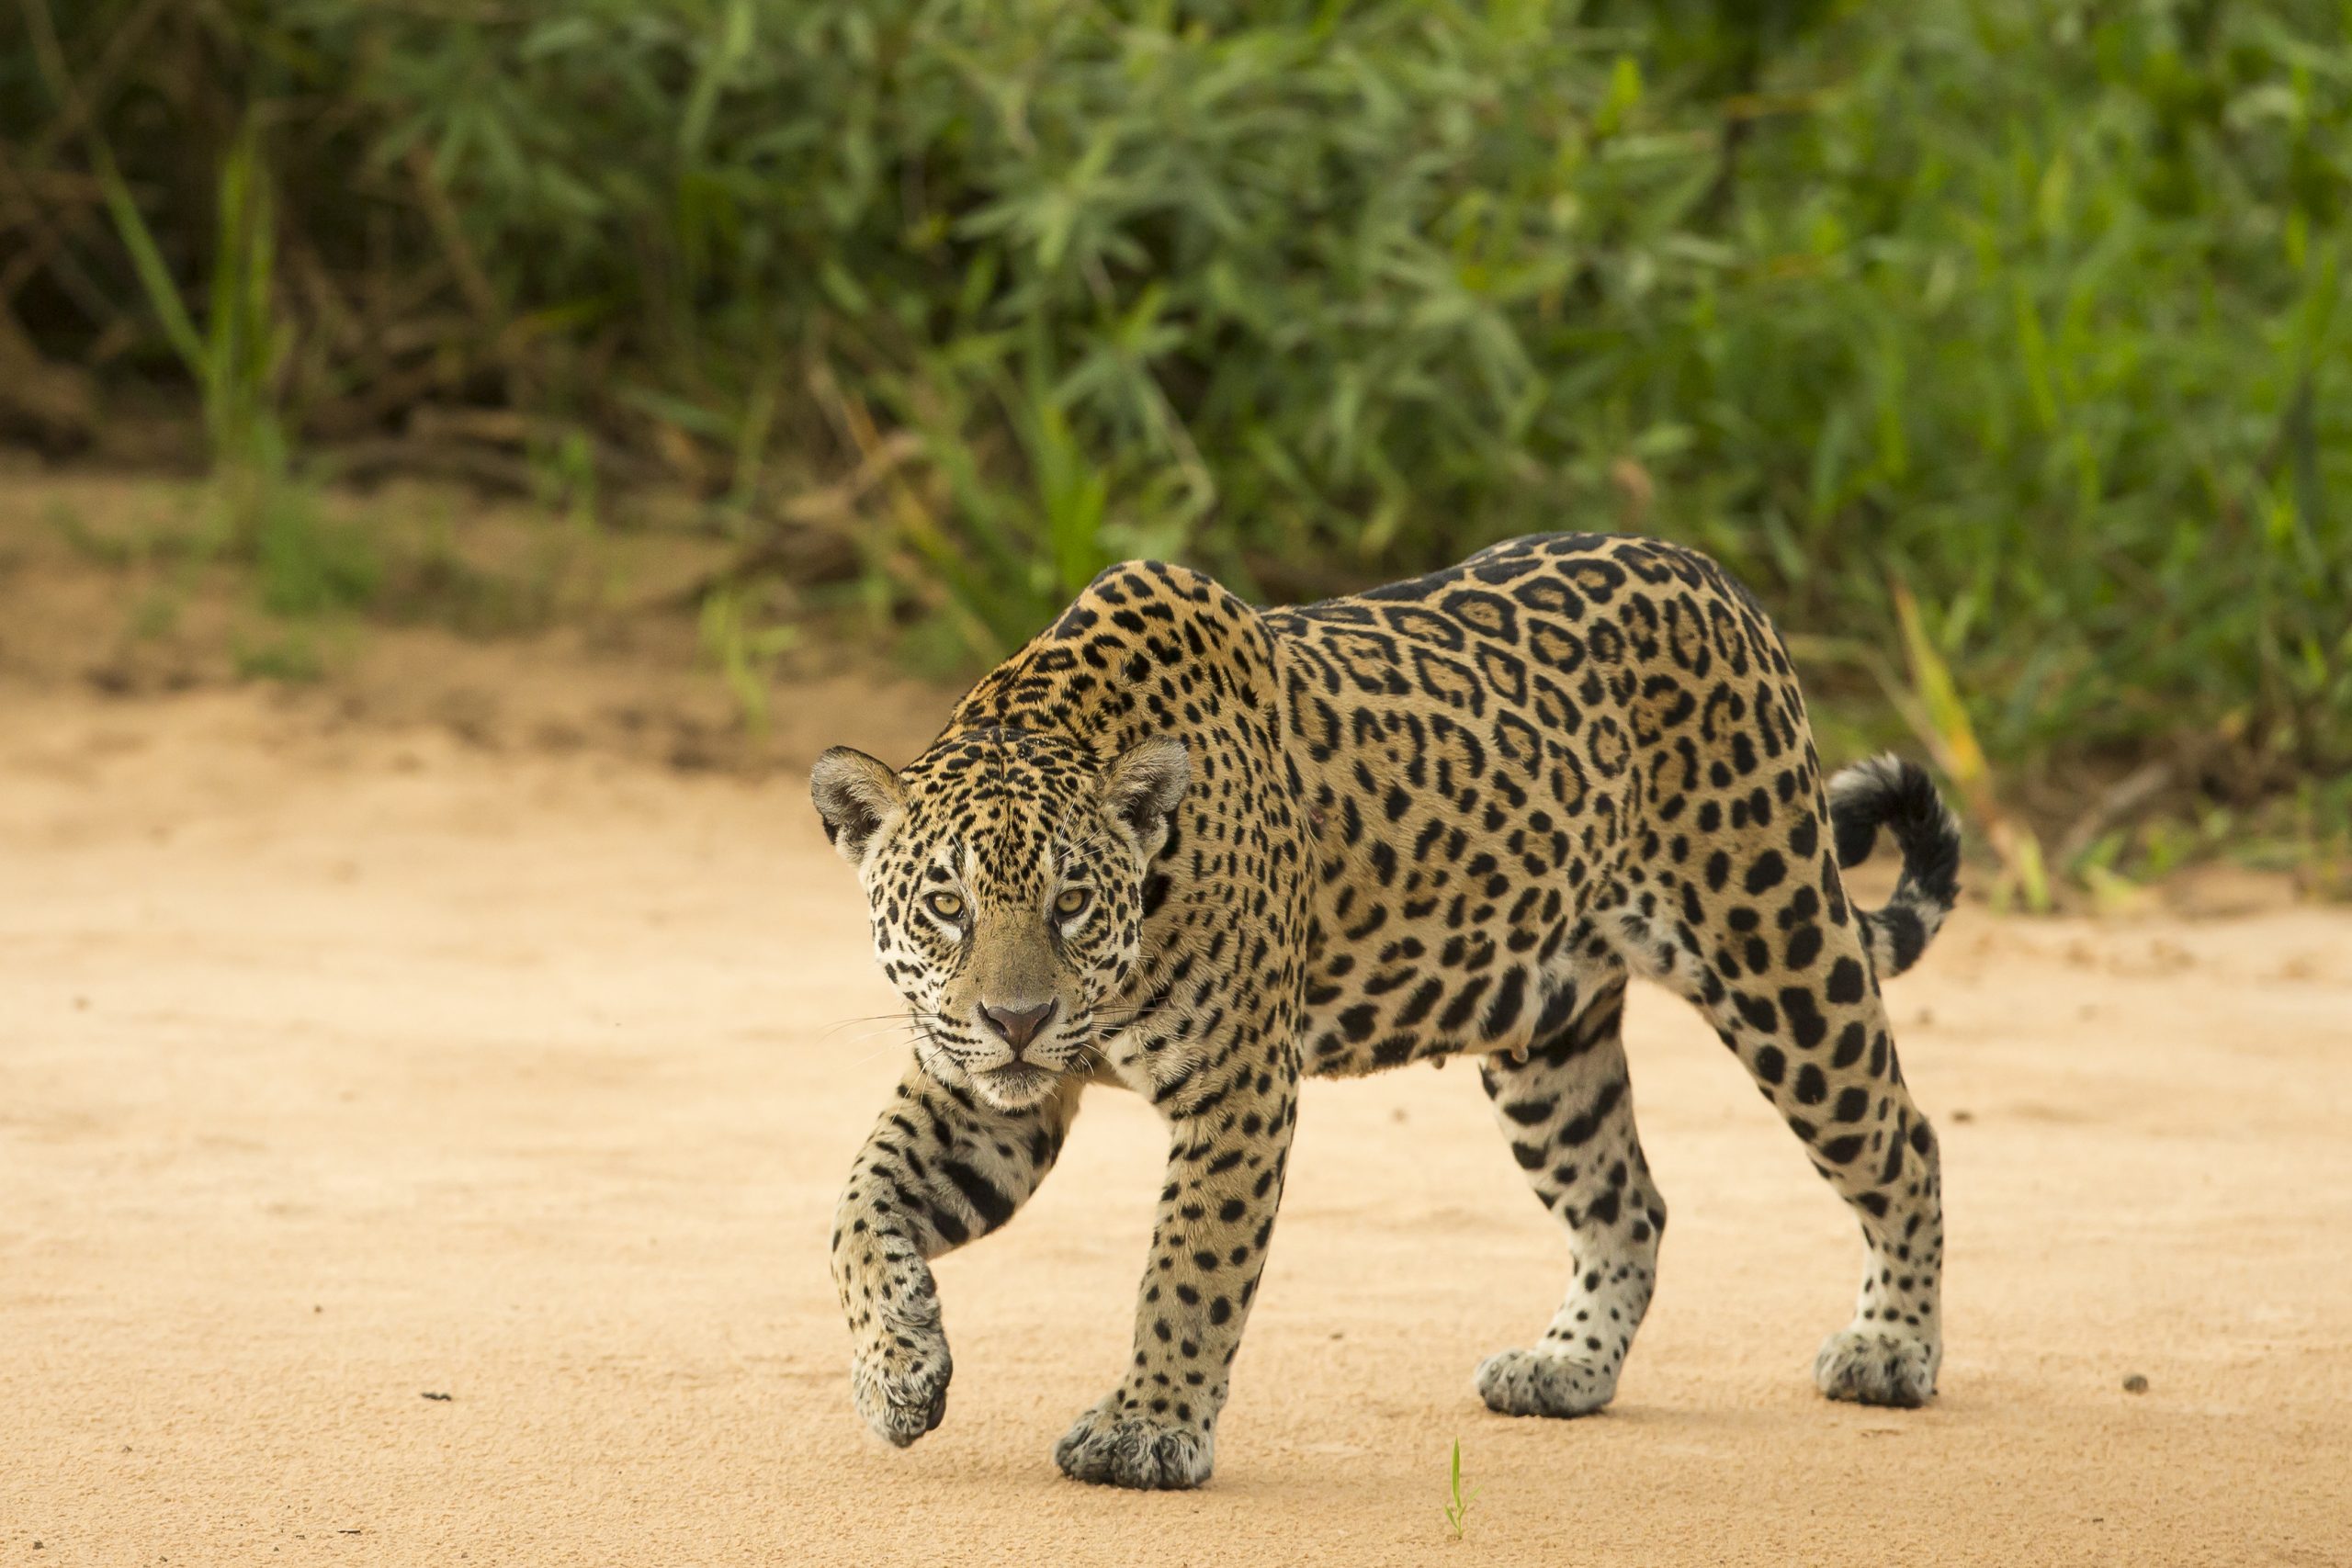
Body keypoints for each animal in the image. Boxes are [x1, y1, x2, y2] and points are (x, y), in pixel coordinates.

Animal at [813, 531, 1962, 1490]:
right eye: (947, 906)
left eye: (1070, 904)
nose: (1016, 1019)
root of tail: (1715, 576)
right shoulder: (981, 1095)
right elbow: (859, 1208)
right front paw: (896, 1371)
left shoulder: (1238, 1086)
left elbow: (1190, 1267)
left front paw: (1147, 1428)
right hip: (1549, 1043)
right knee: (1626, 1201)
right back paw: (1565, 1367)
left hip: (1777, 951)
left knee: (1900, 1141)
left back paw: (1892, 1349)